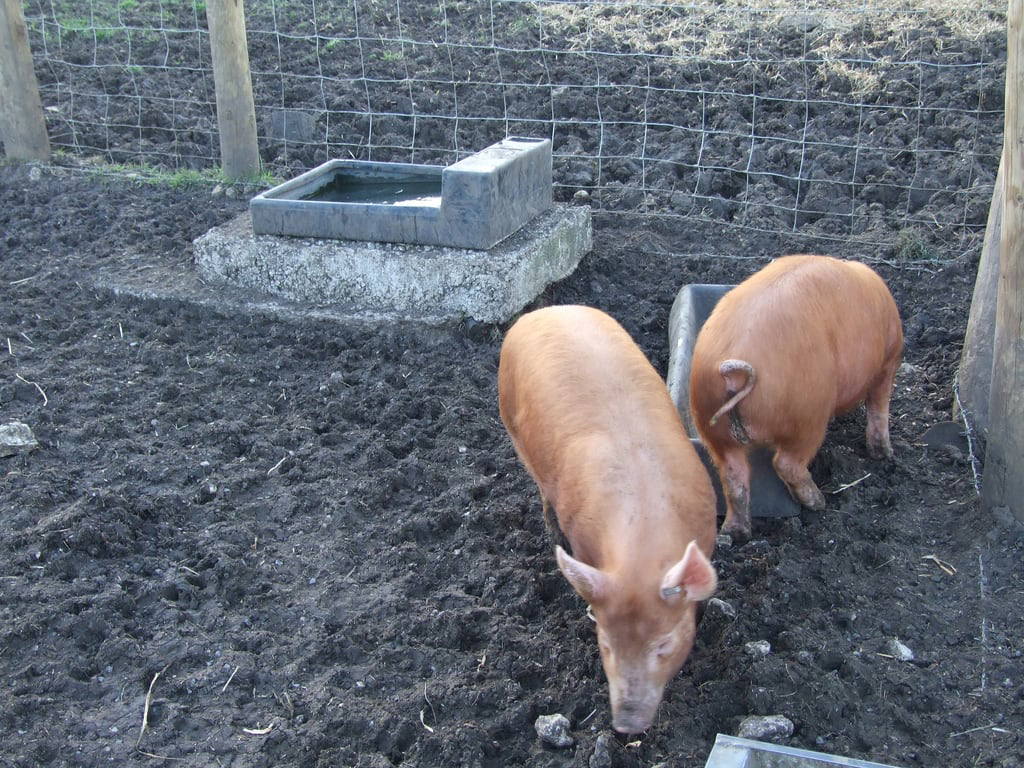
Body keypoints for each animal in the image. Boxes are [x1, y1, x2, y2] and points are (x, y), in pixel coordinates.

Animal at [498, 305, 718, 734]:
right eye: (606, 645)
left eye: (663, 644)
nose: (626, 726)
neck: (642, 551)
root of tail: (545, 311)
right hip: (512, 426)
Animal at [689, 254, 903, 540]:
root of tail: (733, 370)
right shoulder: (888, 362)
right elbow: (879, 408)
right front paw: (885, 454)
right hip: (807, 415)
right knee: (786, 463)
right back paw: (818, 502)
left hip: (713, 430)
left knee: (734, 478)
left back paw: (736, 533)